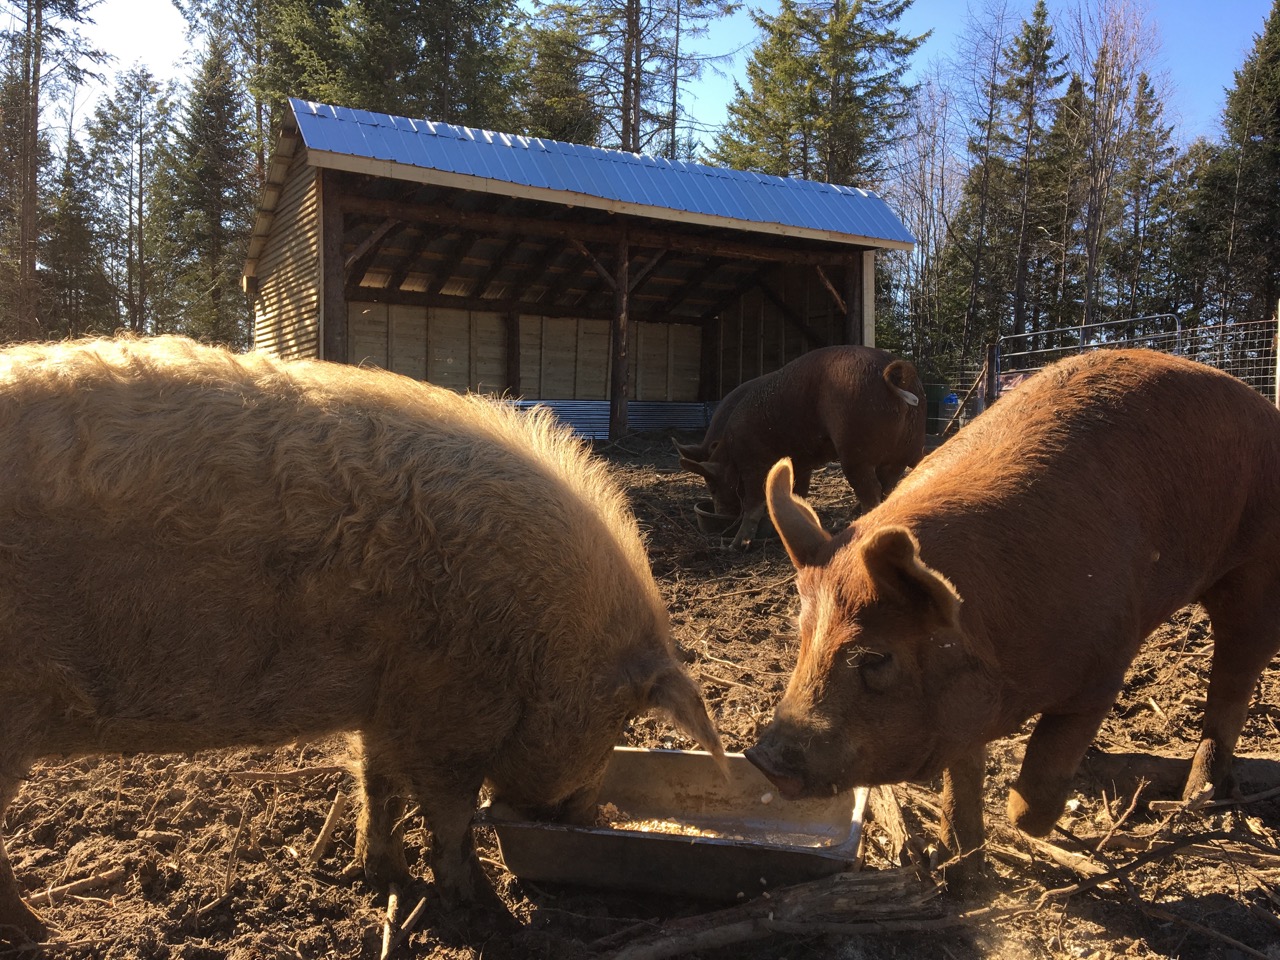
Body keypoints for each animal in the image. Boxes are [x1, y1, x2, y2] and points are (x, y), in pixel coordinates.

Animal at [0, 335, 723, 942]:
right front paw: (480, 907)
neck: (544, 638)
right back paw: (42, 932)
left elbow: (378, 786)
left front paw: (382, 878)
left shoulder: (389, 704)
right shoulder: (449, 710)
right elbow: (450, 816)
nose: (584, 813)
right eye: (622, 715)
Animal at [676, 346, 925, 547]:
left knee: (871, 493)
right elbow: (798, 494)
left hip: (855, 452)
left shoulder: (754, 463)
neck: (730, 449)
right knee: (888, 488)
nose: (722, 515)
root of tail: (898, 374)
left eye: (712, 487)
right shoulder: (801, 464)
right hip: (900, 455)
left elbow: (754, 503)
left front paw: (735, 545)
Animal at [745, 348, 1280, 868]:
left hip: (1256, 570)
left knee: (1233, 682)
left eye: (876, 659)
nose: (762, 759)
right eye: (802, 637)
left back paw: (1193, 796)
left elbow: (1040, 775)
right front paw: (958, 866)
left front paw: (1027, 822)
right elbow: (960, 782)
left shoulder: (1103, 668)